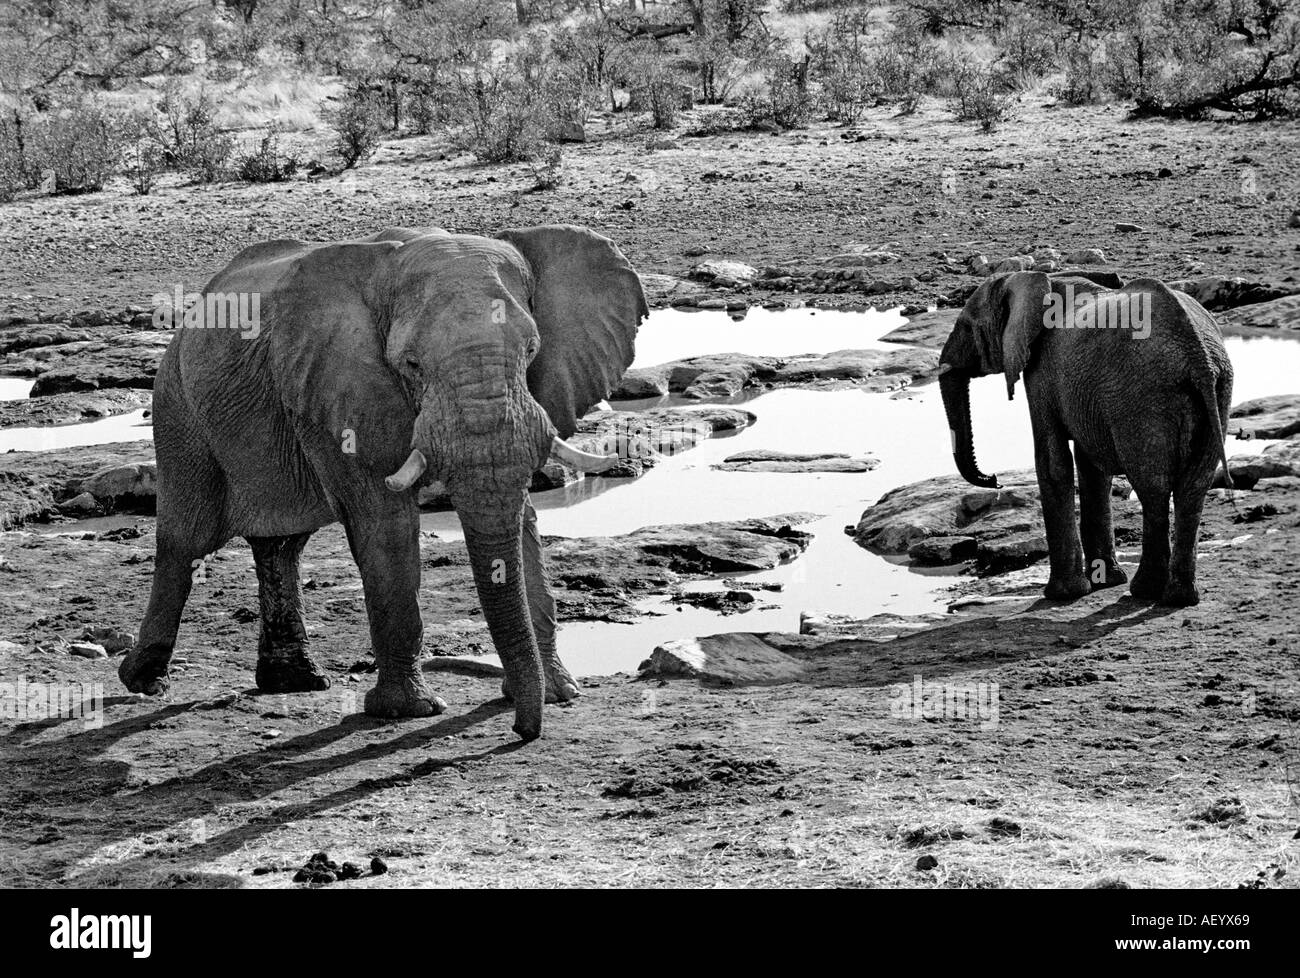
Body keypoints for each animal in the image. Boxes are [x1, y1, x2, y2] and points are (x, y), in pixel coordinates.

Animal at [118, 224, 648, 741]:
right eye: (411, 364)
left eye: (532, 349)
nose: (521, 731)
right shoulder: (339, 386)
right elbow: (384, 523)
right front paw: (408, 711)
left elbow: (522, 520)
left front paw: (559, 694)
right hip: (178, 408)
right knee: (186, 540)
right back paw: (143, 678)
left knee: (282, 543)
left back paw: (294, 682)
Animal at [938, 271, 1233, 607]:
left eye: (966, 326)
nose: (995, 480)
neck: (1036, 279)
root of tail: (1198, 354)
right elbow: (1092, 468)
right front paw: (1105, 581)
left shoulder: (1041, 371)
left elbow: (1053, 462)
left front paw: (1063, 594)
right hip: (1217, 389)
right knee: (1193, 487)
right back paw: (1179, 598)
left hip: (1143, 397)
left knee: (1153, 487)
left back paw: (1145, 591)